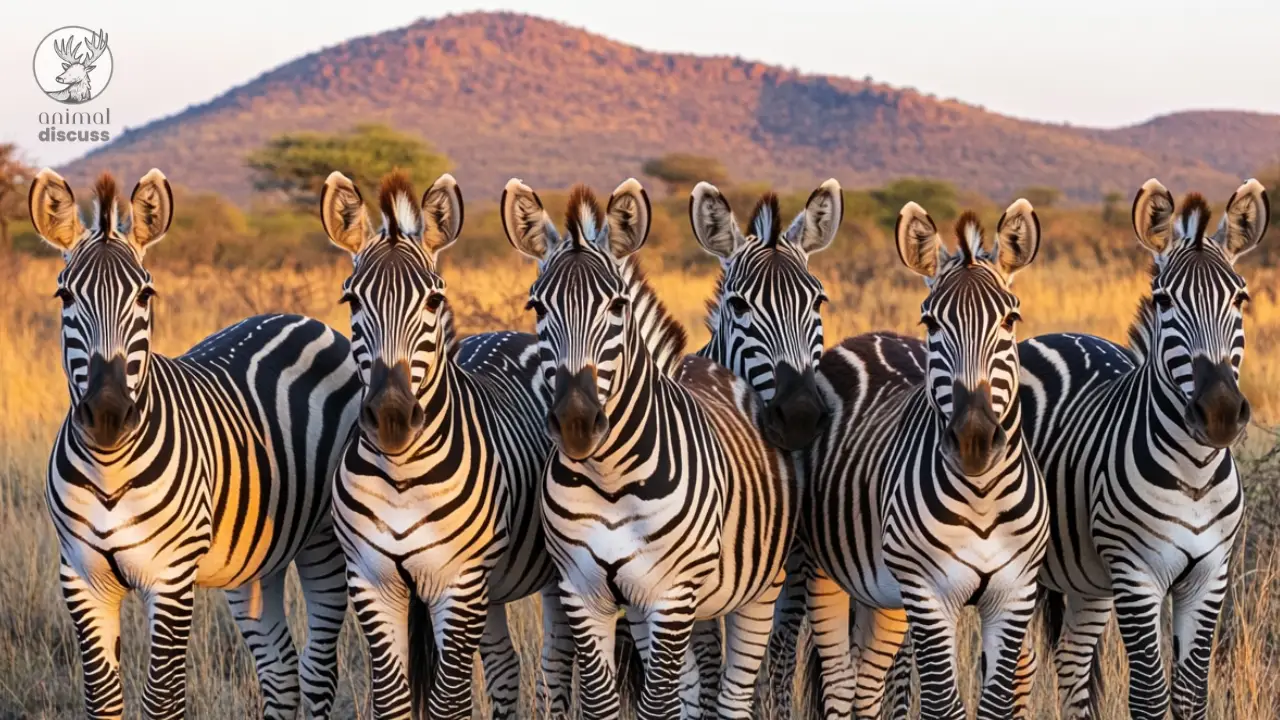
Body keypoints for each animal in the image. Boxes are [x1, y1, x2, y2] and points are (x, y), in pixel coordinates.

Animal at [28, 168, 361, 719]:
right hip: (254, 560)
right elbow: (102, 699)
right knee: (280, 672)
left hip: (325, 543)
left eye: (145, 296)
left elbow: (162, 699)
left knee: (318, 671)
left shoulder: (170, 577)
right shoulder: (80, 575)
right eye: (64, 297)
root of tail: (300, 318)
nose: (108, 413)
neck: (108, 469)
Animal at [318, 170, 569, 720]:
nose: (392, 418)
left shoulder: (458, 582)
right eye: (351, 302)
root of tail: (509, 334)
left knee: (557, 665)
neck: (402, 477)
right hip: (491, 590)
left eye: (433, 301)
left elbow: (448, 703)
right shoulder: (372, 580)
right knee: (506, 667)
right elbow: (393, 700)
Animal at [502, 177, 798, 720]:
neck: (610, 478)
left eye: (617, 306)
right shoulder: (583, 591)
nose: (576, 424)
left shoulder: (672, 595)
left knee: (734, 693)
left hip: (759, 589)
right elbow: (603, 703)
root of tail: (711, 365)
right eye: (537, 308)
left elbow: (658, 706)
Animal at [803, 200, 1049, 720]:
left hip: (883, 592)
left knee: (867, 684)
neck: (982, 497)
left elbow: (994, 704)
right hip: (824, 571)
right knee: (839, 682)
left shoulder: (1015, 593)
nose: (974, 439)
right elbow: (943, 706)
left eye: (1010, 321)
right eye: (932, 324)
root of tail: (868, 336)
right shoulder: (929, 592)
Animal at [1019, 178, 1269, 720]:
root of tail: (1051, 336)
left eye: (1240, 297)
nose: (1219, 412)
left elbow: (1191, 694)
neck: (1195, 474)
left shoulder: (1210, 574)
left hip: (1087, 576)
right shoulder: (1136, 574)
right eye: (1163, 300)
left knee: (1071, 662)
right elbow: (1150, 695)